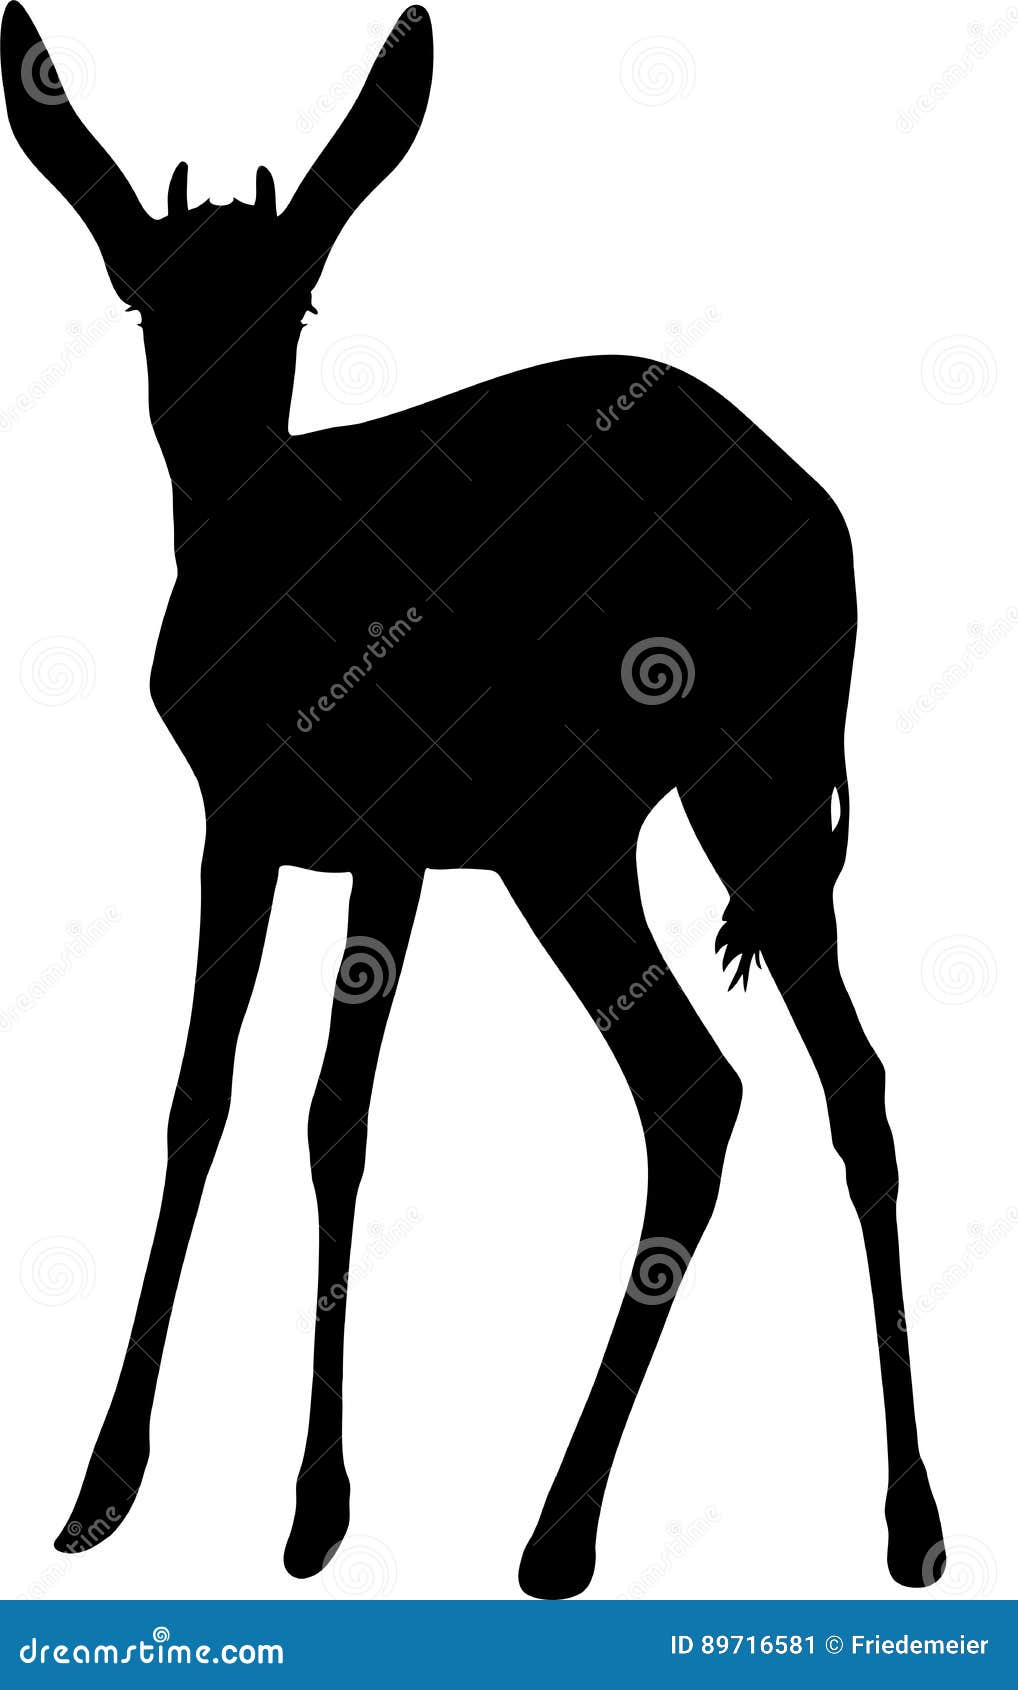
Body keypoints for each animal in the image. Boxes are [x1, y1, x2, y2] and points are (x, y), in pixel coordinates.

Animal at [3, 3, 945, 1597]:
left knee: (712, 1088)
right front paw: (263, 1505)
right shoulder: (353, 851)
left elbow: (244, 1102)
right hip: (678, 819)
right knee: (823, 1086)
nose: (233, 490)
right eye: (146, 306)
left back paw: (559, 1534)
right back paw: (907, 1523)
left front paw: (153, 1492)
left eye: (300, 307)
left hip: (628, 828)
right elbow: (294, 1112)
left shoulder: (269, 828)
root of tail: (812, 509)